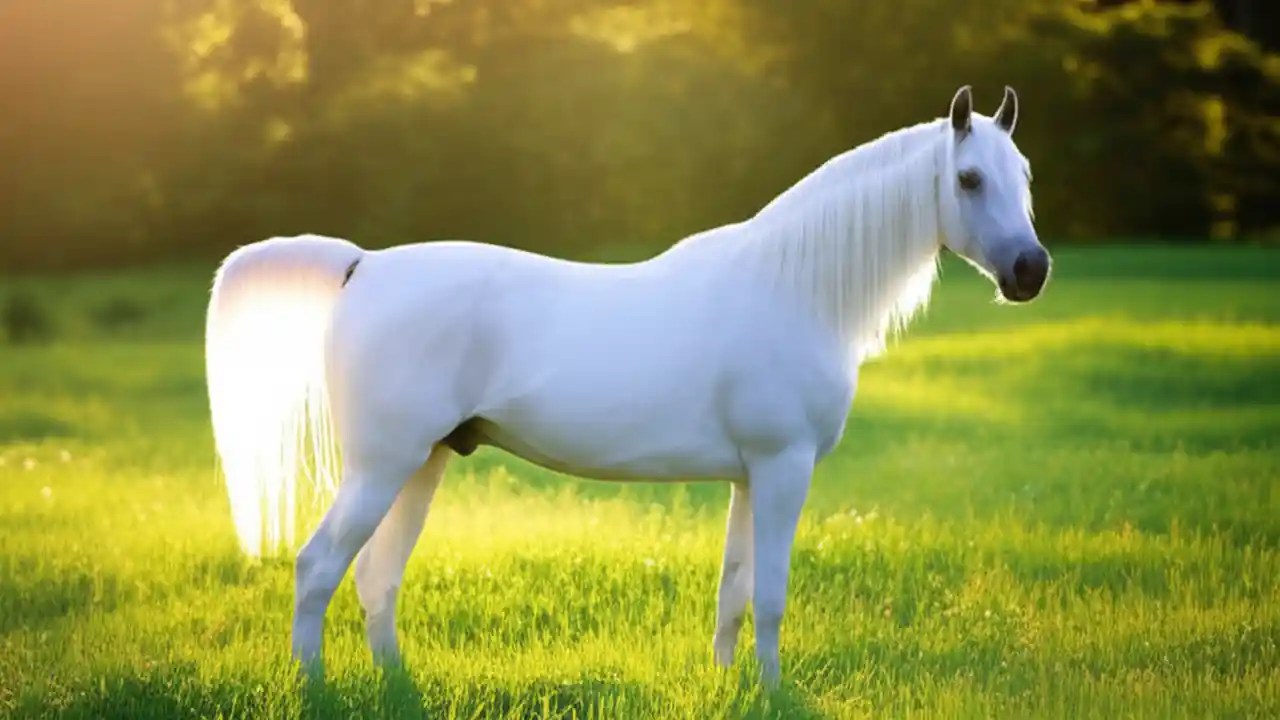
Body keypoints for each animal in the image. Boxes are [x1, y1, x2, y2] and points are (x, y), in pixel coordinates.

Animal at [205, 85, 1049, 684]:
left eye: (1026, 176)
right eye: (968, 179)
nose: (1031, 271)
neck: (793, 288)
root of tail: (365, 264)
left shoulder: (750, 477)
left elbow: (734, 591)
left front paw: (729, 683)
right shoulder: (783, 467)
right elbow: (771, 595)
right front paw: (772, 691)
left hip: (424, 463)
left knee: (376, 580)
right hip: (383, 467)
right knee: (319, 568)